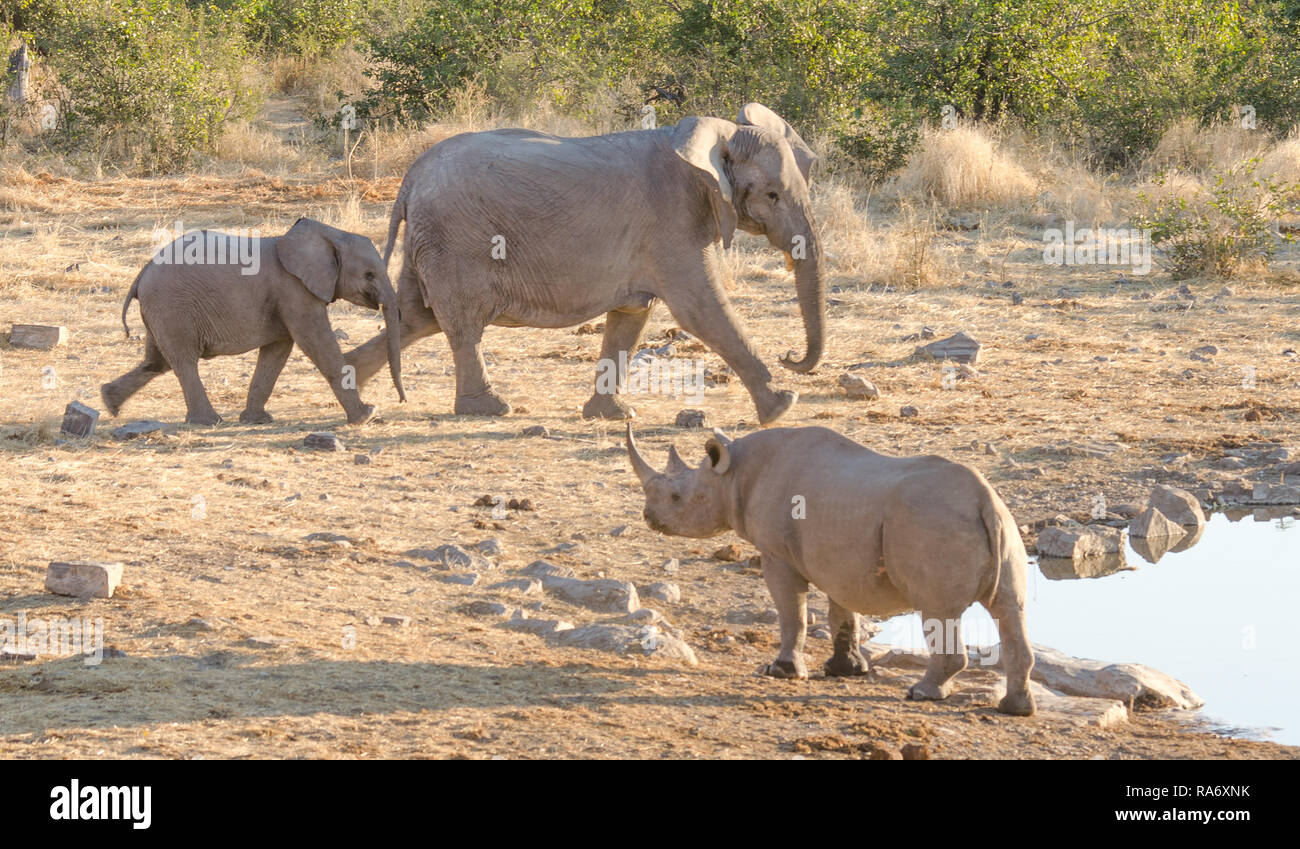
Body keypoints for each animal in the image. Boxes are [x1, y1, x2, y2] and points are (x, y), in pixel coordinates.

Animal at [101, 218, 404, 426]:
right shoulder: (294, 290)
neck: (330, 235)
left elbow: (277, 352)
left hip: (161, 312)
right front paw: (366, 416)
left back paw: (109, 403)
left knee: (156, 361)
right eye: (369, 275)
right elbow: (318, 345)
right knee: (184, 362)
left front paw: (256, 420)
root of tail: (142, 273)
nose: (402, 400)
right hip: (172, 307)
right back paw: (209, 422)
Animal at [341, 102, 826, 424]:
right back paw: (489, 409)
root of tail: (409, 180)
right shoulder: (674, 221)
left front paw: (612, 415)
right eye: (772, 195)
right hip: (456, 241)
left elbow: (632, 316)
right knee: (459, 323)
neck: (715, 136)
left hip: (429, 240)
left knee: (413, 318)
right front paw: (783, 405)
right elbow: (701, 310)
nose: (790, 356)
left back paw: (350, 389)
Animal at [626, 424, 1036, 716]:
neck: (732, 474)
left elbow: (793, 613)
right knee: (1009, 608)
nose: (648, 517)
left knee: (939, 611)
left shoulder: (777, 554)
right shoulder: (842, 559)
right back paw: (1015, 709)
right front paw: (846, 669)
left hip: (932, 524)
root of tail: (983, 499)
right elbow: (842, 612)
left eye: (676, 497)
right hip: (1002, 523)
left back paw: (921, 694)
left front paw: (782, 670)